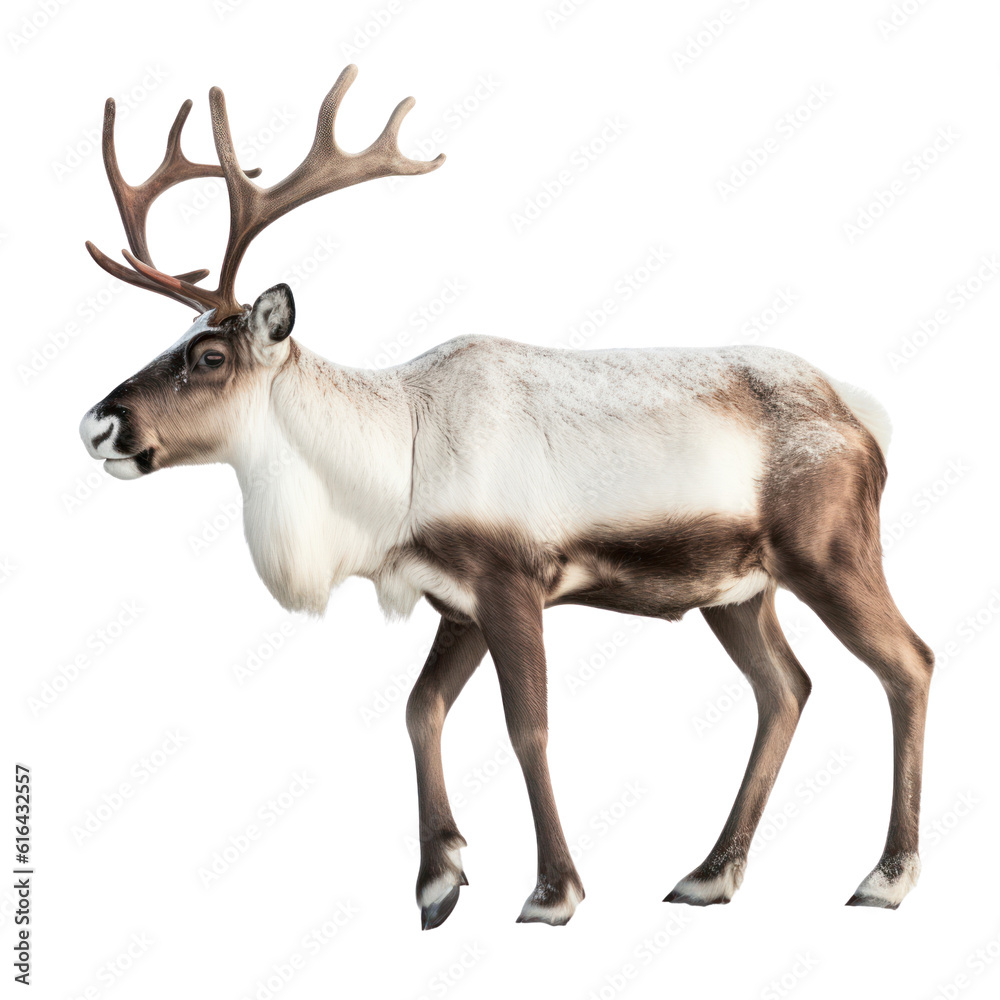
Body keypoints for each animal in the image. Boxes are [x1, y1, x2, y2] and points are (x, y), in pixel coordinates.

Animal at [79, 65, 934, 930]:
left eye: (210, 355)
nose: (99, 423)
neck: (396, 465)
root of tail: (864, 415)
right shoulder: (458, 601)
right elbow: (420, 709)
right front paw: (438, 878)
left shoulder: (511, 582)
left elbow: (528, 728)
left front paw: (554, 891)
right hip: (737, 592)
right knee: (785, 689)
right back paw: (710, 874)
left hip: (831, 555)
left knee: (909, 663)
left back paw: (885, 877)